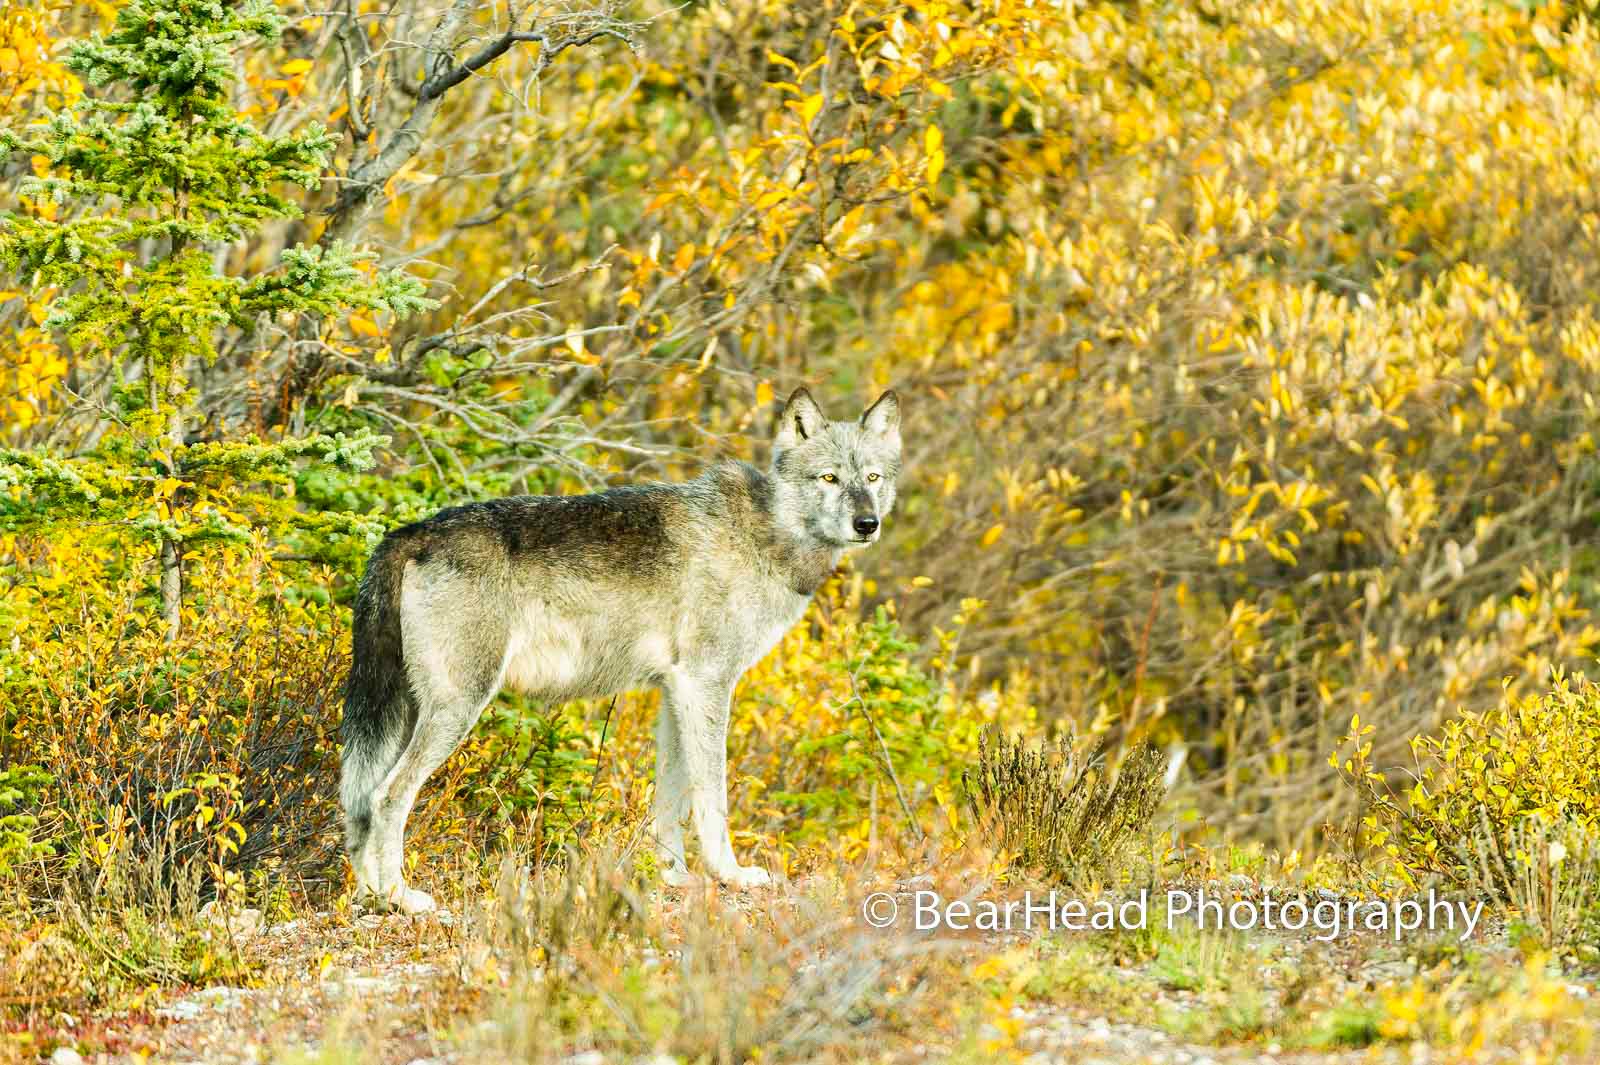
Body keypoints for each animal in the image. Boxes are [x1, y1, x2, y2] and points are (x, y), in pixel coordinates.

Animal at [339, 387, 903, 912]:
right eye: (829, 479)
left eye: (873, 479)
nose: (867, 525)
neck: (767, 535)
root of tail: (409, 533)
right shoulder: (707, 683)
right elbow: (711, 799)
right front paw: (731, 874)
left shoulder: (676, 693)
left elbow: (670, 801)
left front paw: (674, 876)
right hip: (456, 709)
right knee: (388, 795)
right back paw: (399, 896)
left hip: (404, 713)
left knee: (362, 800)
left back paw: (370, 895)